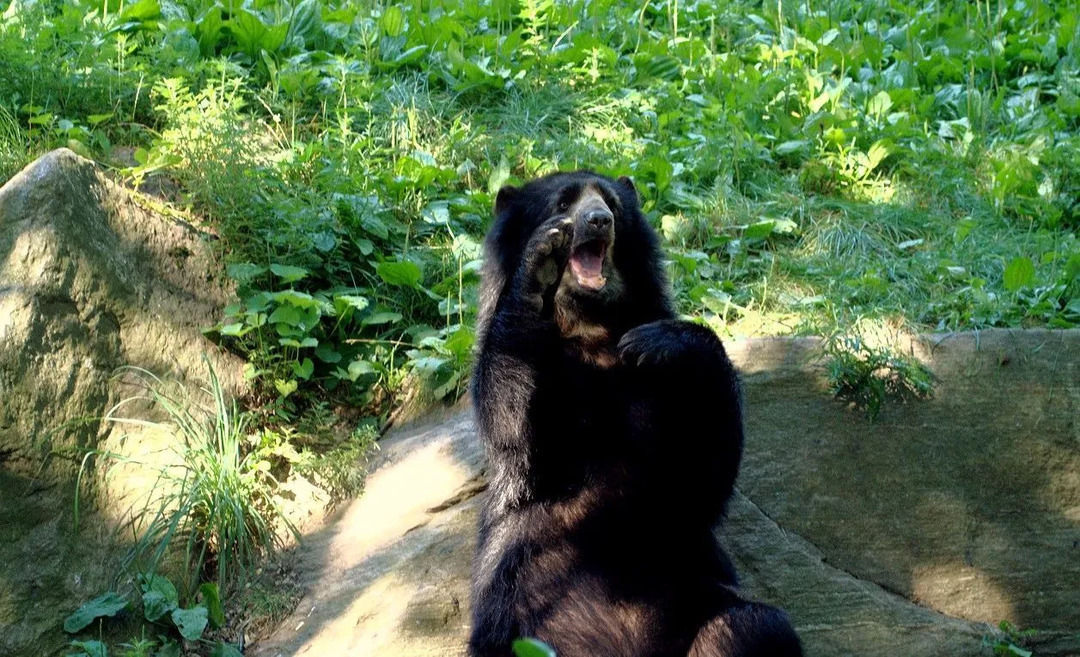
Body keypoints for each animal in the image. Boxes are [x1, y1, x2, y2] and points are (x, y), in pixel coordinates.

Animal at [473, 170, 803, 657]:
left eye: (611, 203)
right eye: (563, 203)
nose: (599, 221)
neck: (589, 325)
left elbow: (701, 475)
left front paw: (660, 341)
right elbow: (513, 429)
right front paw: (541, 262)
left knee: (750, 625)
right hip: (512, 624)